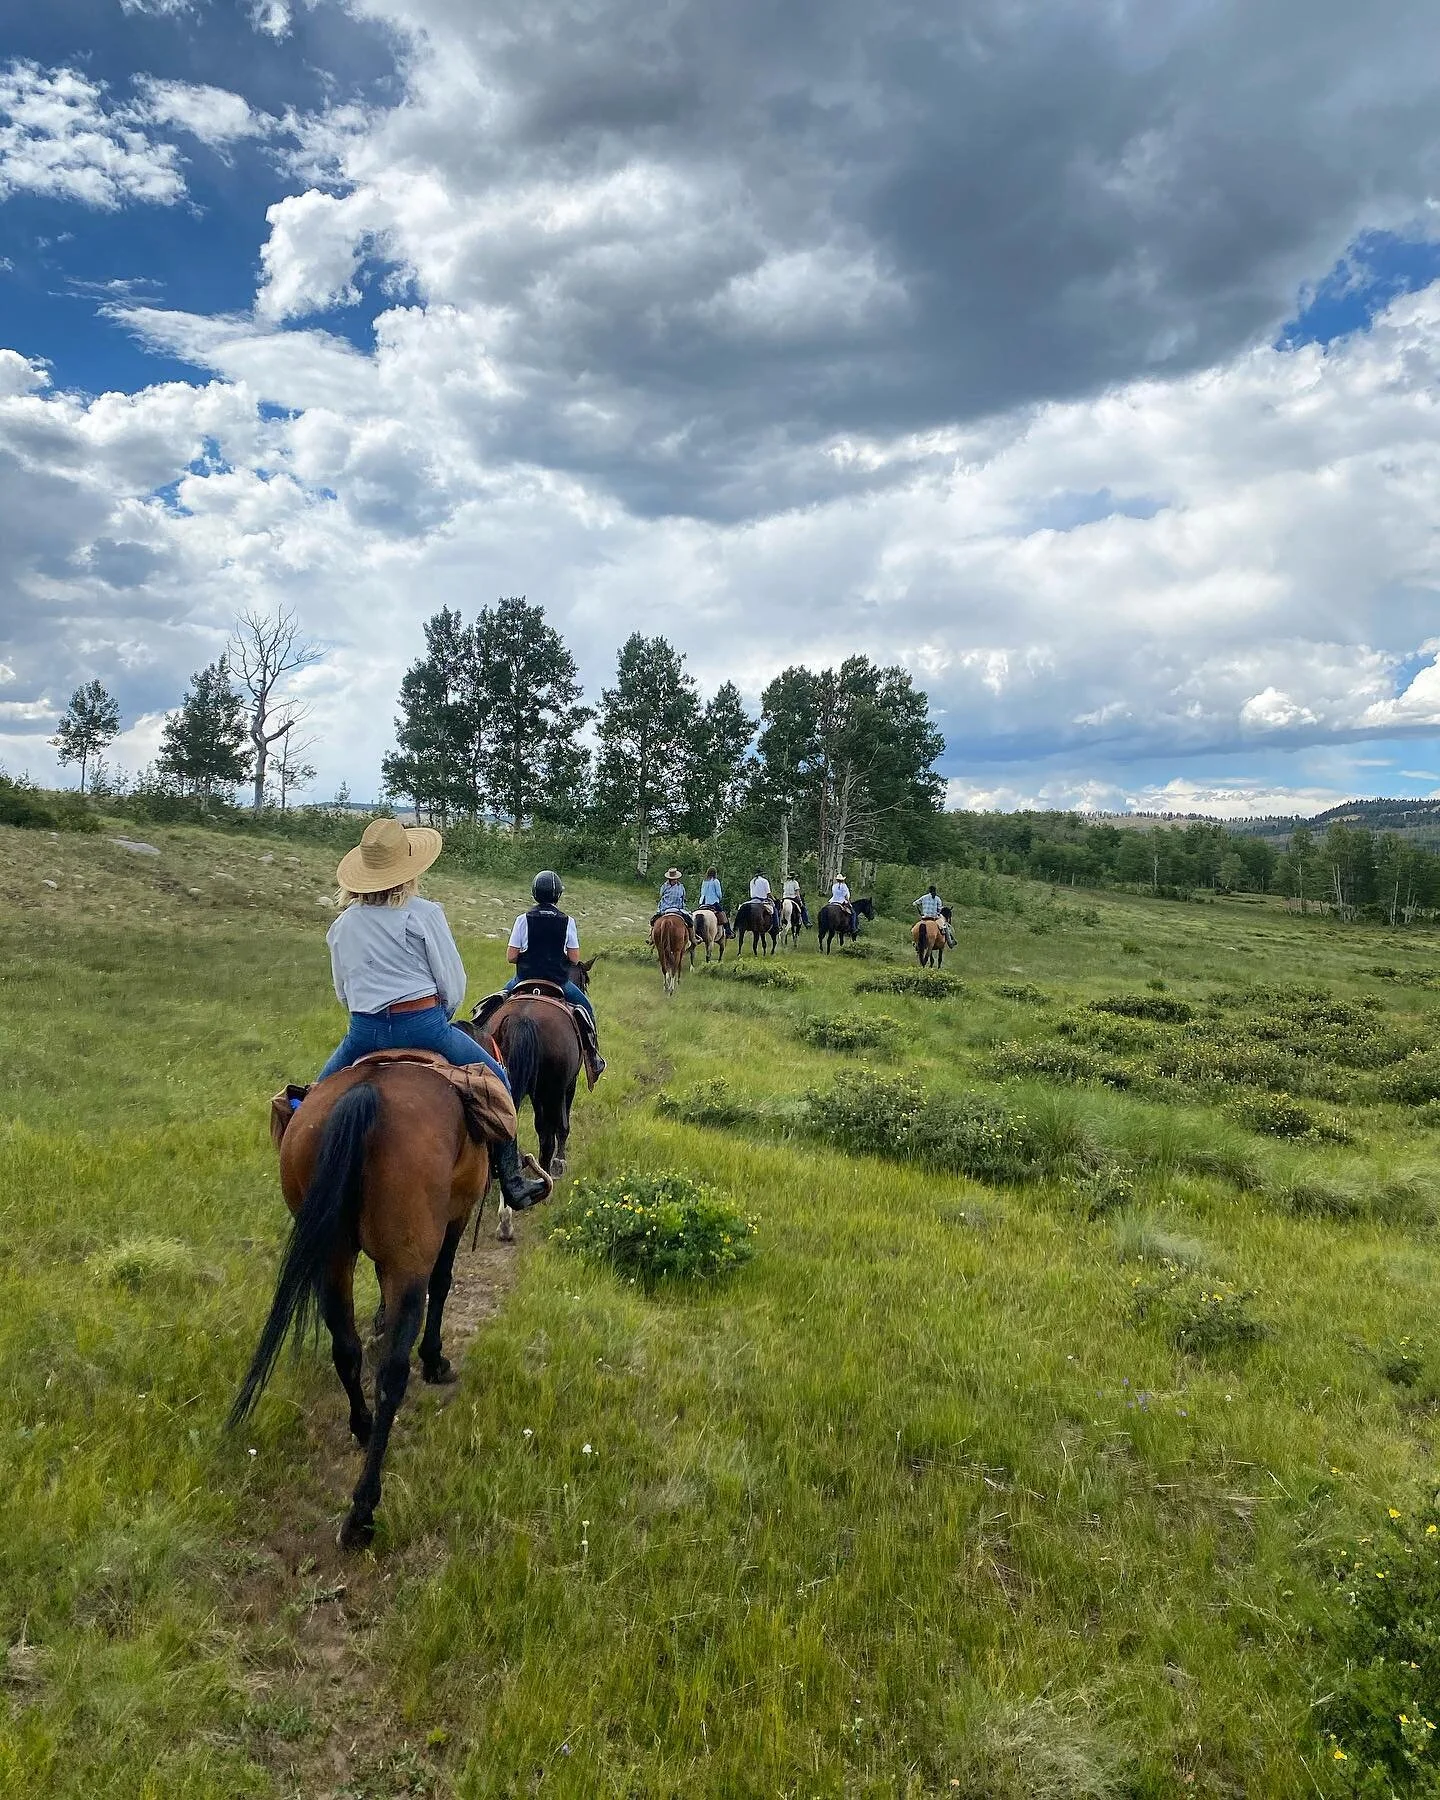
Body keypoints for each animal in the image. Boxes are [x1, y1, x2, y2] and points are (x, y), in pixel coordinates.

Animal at [229, 1060, 545, 1550]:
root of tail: (367, 1096)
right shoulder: (451, 1221)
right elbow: (443, 1283)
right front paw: (435, 1361)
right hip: (408, 1258)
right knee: (392, 1372)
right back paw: (362, 1511)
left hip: (332, 1256)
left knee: (346, 1348)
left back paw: (361, 1425)